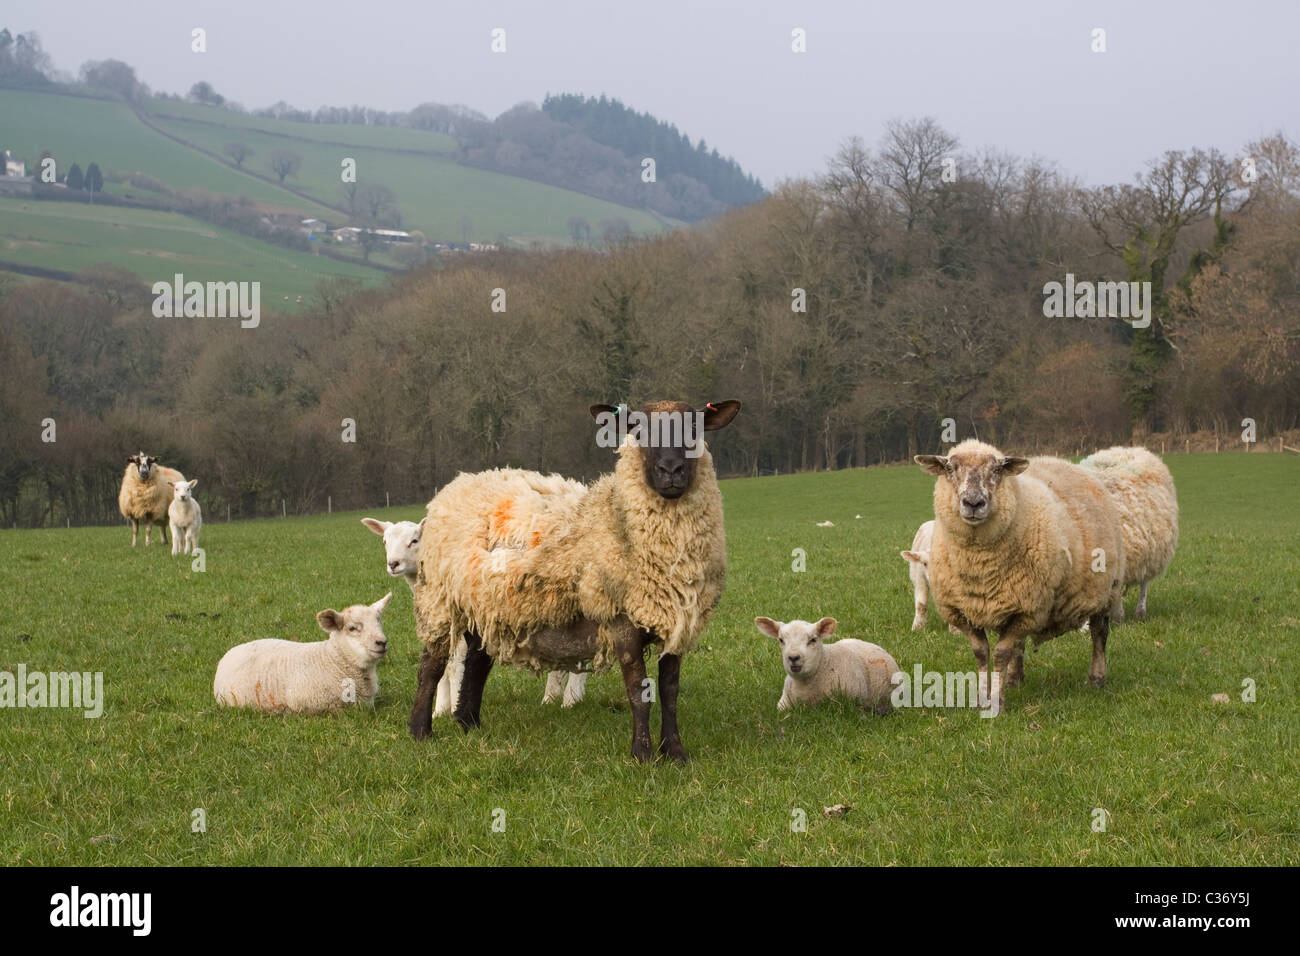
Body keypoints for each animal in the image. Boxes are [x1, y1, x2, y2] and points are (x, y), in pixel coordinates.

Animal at [362, 516, 587, 713]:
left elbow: (455, 667)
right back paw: (551, 698)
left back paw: (571, 700)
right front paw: (440, 711)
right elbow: (444, 667)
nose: (393, 564)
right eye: (385, 541)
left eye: (415, 540)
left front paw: (454, 708)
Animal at [410, 399, 741, 764]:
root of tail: (457, 484)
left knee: (477, 660)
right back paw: (421, 731)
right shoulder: (620, 620)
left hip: (486, 607)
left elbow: (670, 691)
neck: (615, 514)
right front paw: (642, 755)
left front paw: (675, 753)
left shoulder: (676, 621)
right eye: (638, 431)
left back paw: (469, 723)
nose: (671, 470)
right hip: (439, 601)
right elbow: (637, 691)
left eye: (695, 428)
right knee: (431, 665)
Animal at [915, 439, 1125, 711]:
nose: (973, 503)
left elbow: (1001, 653)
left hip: (1106, 590)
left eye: (997, 469)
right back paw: (1014, 679)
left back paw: (1096, 679)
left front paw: (997, 703)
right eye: (949, 468)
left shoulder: (1029, 608)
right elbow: (981, 653)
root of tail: (1061, 462)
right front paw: (981, 698)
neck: (978, 565)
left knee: (1099, 634)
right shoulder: (965, 611)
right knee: (1020, 644)